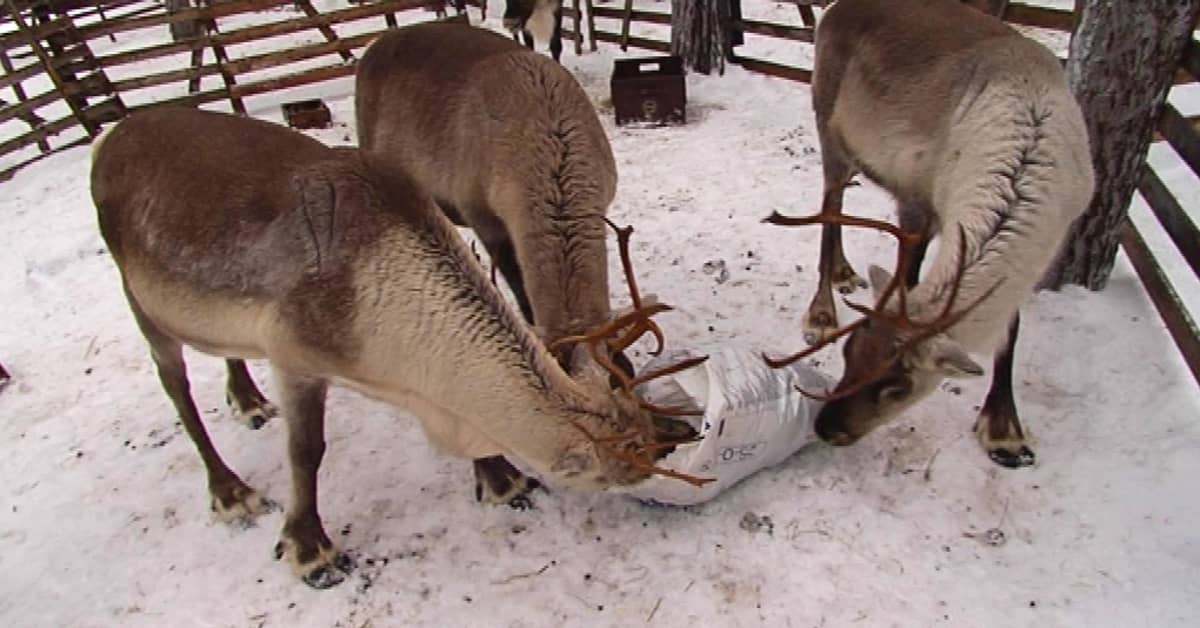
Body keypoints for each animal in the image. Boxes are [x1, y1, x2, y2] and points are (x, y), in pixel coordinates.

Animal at [91, 107, 706, 589]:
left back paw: (247, 401)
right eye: (618, 462)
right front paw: (308, 549)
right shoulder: (294, 356)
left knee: (220, 351)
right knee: (175, 385)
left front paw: (500, 479)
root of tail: (107, 142)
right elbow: (306, 452)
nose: (679, 435)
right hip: (139, 300)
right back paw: (230, 491)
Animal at [765, 0, 1094, 468]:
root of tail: (833, 8)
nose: (826, 427)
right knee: (830, 209)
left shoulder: (1044, 248)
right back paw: (822, 312)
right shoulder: (919, 204)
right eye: (847, 351)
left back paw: (845, 272)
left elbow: (1010, 328)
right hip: (830, 128)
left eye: (897, 387)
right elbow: (908, 278)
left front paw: (1003, 429)